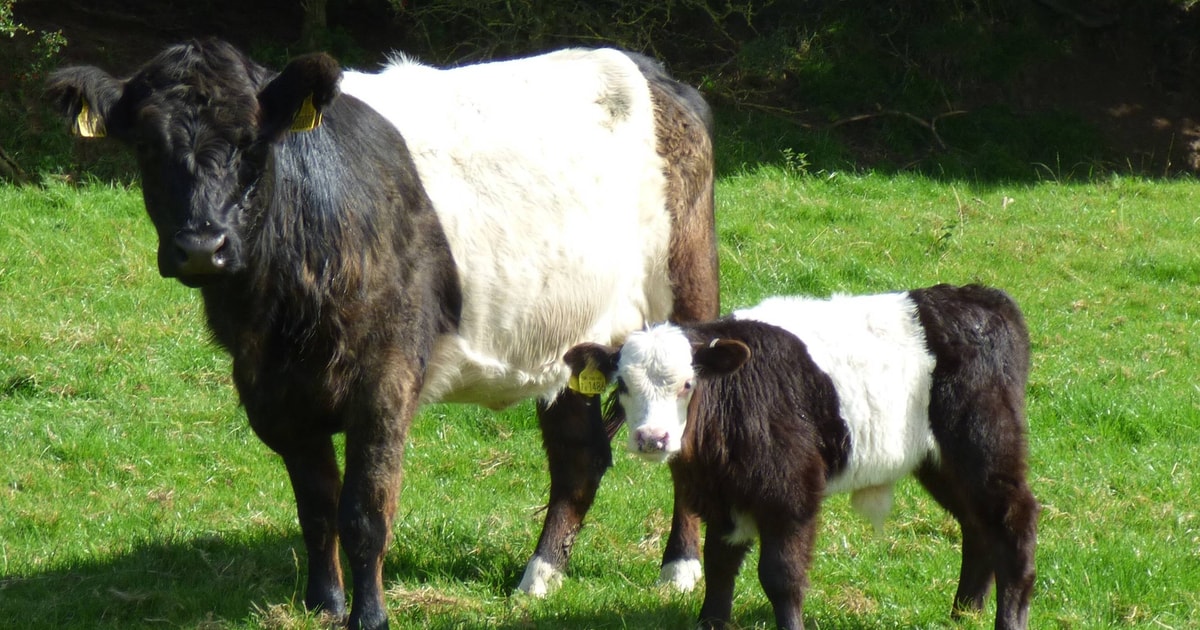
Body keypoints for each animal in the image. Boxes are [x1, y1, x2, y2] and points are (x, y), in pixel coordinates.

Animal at [47, 38, 718, 629]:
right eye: (147, 148)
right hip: (567, 339)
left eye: (251, 142)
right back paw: (539, 577)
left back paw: (679, 568)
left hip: (687, 293)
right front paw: (323, 604)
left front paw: (369, 616)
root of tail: (653, 71)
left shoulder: (384, 381)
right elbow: (317, 506)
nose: (200, 246)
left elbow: (365, 510)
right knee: (579, 456)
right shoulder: (273, 394)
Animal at [565, 284, 1039, 630]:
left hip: (985, 446)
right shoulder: (723, 498)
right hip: (941, 463)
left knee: (1014, 520)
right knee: (977, 526)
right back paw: (964, 612)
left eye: (686, 384)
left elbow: (781, 575)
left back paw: (1007, 619)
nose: (653, 438)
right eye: (623, 385)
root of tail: (981, 297)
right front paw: (710, 623)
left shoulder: (789, 493)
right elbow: (720, 566)